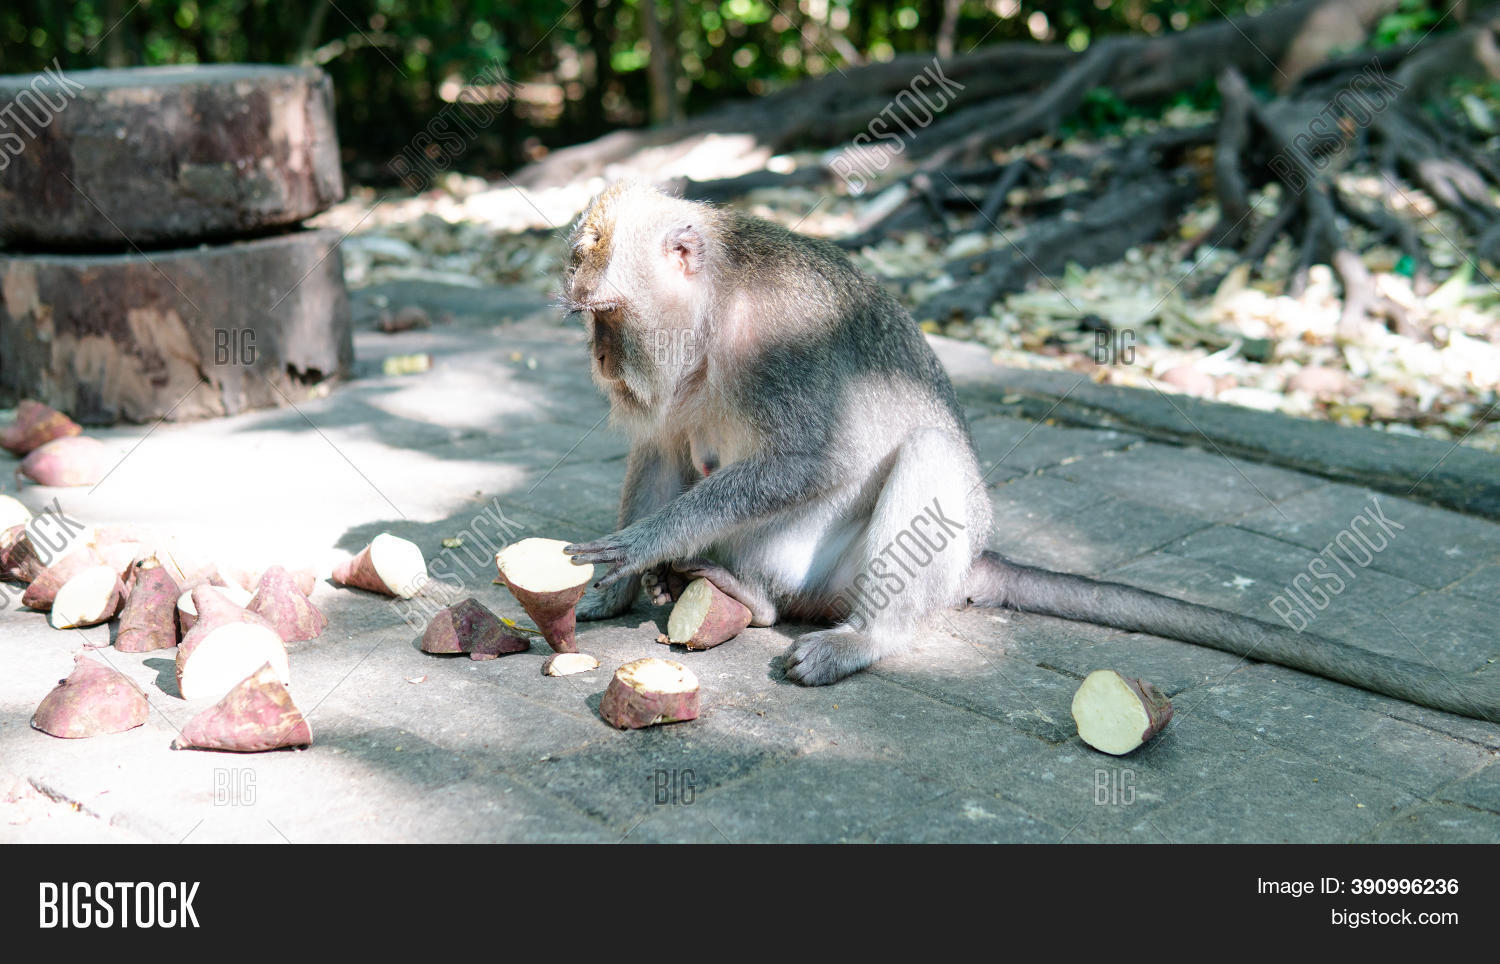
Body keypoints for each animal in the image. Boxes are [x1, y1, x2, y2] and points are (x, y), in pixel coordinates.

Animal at [556, 180, 1498, 724]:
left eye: (605, 317)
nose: (597, 360)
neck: (716, 314)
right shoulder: (678, 389)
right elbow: (663, 446)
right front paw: (613, 585)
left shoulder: (787, 348)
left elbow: (812, 462)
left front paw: (641, 548)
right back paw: (722, 589)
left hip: (839, 565)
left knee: (929, 454)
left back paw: (839, 628)